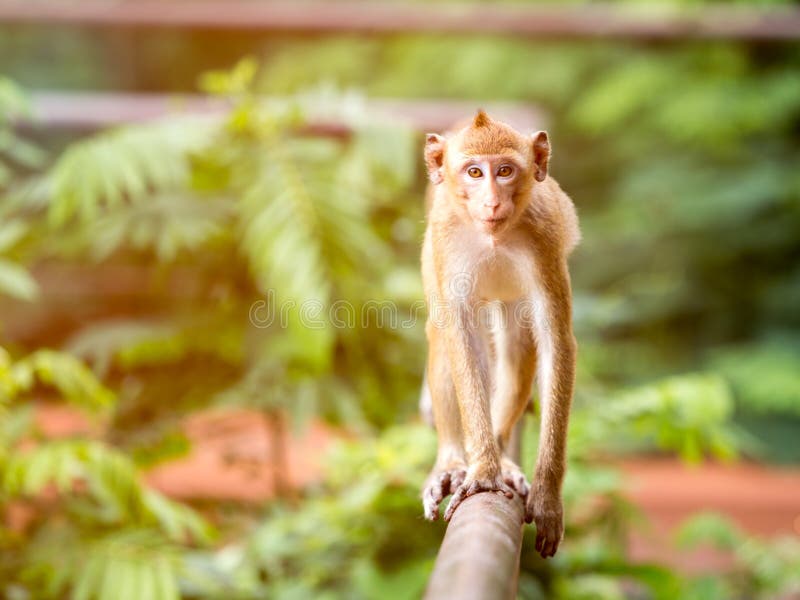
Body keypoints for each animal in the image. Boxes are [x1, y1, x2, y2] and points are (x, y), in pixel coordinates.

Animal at [420, 110, 579, 559]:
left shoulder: (544, 241)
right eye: (474, 172)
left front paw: (547, 497)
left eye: (505, 171)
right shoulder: (445, 240)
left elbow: (556, 343)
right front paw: (483, 472)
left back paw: (503, 452)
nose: (492, 201)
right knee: (442, 335)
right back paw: (453, 462)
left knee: (517, 345)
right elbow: (460, 339)